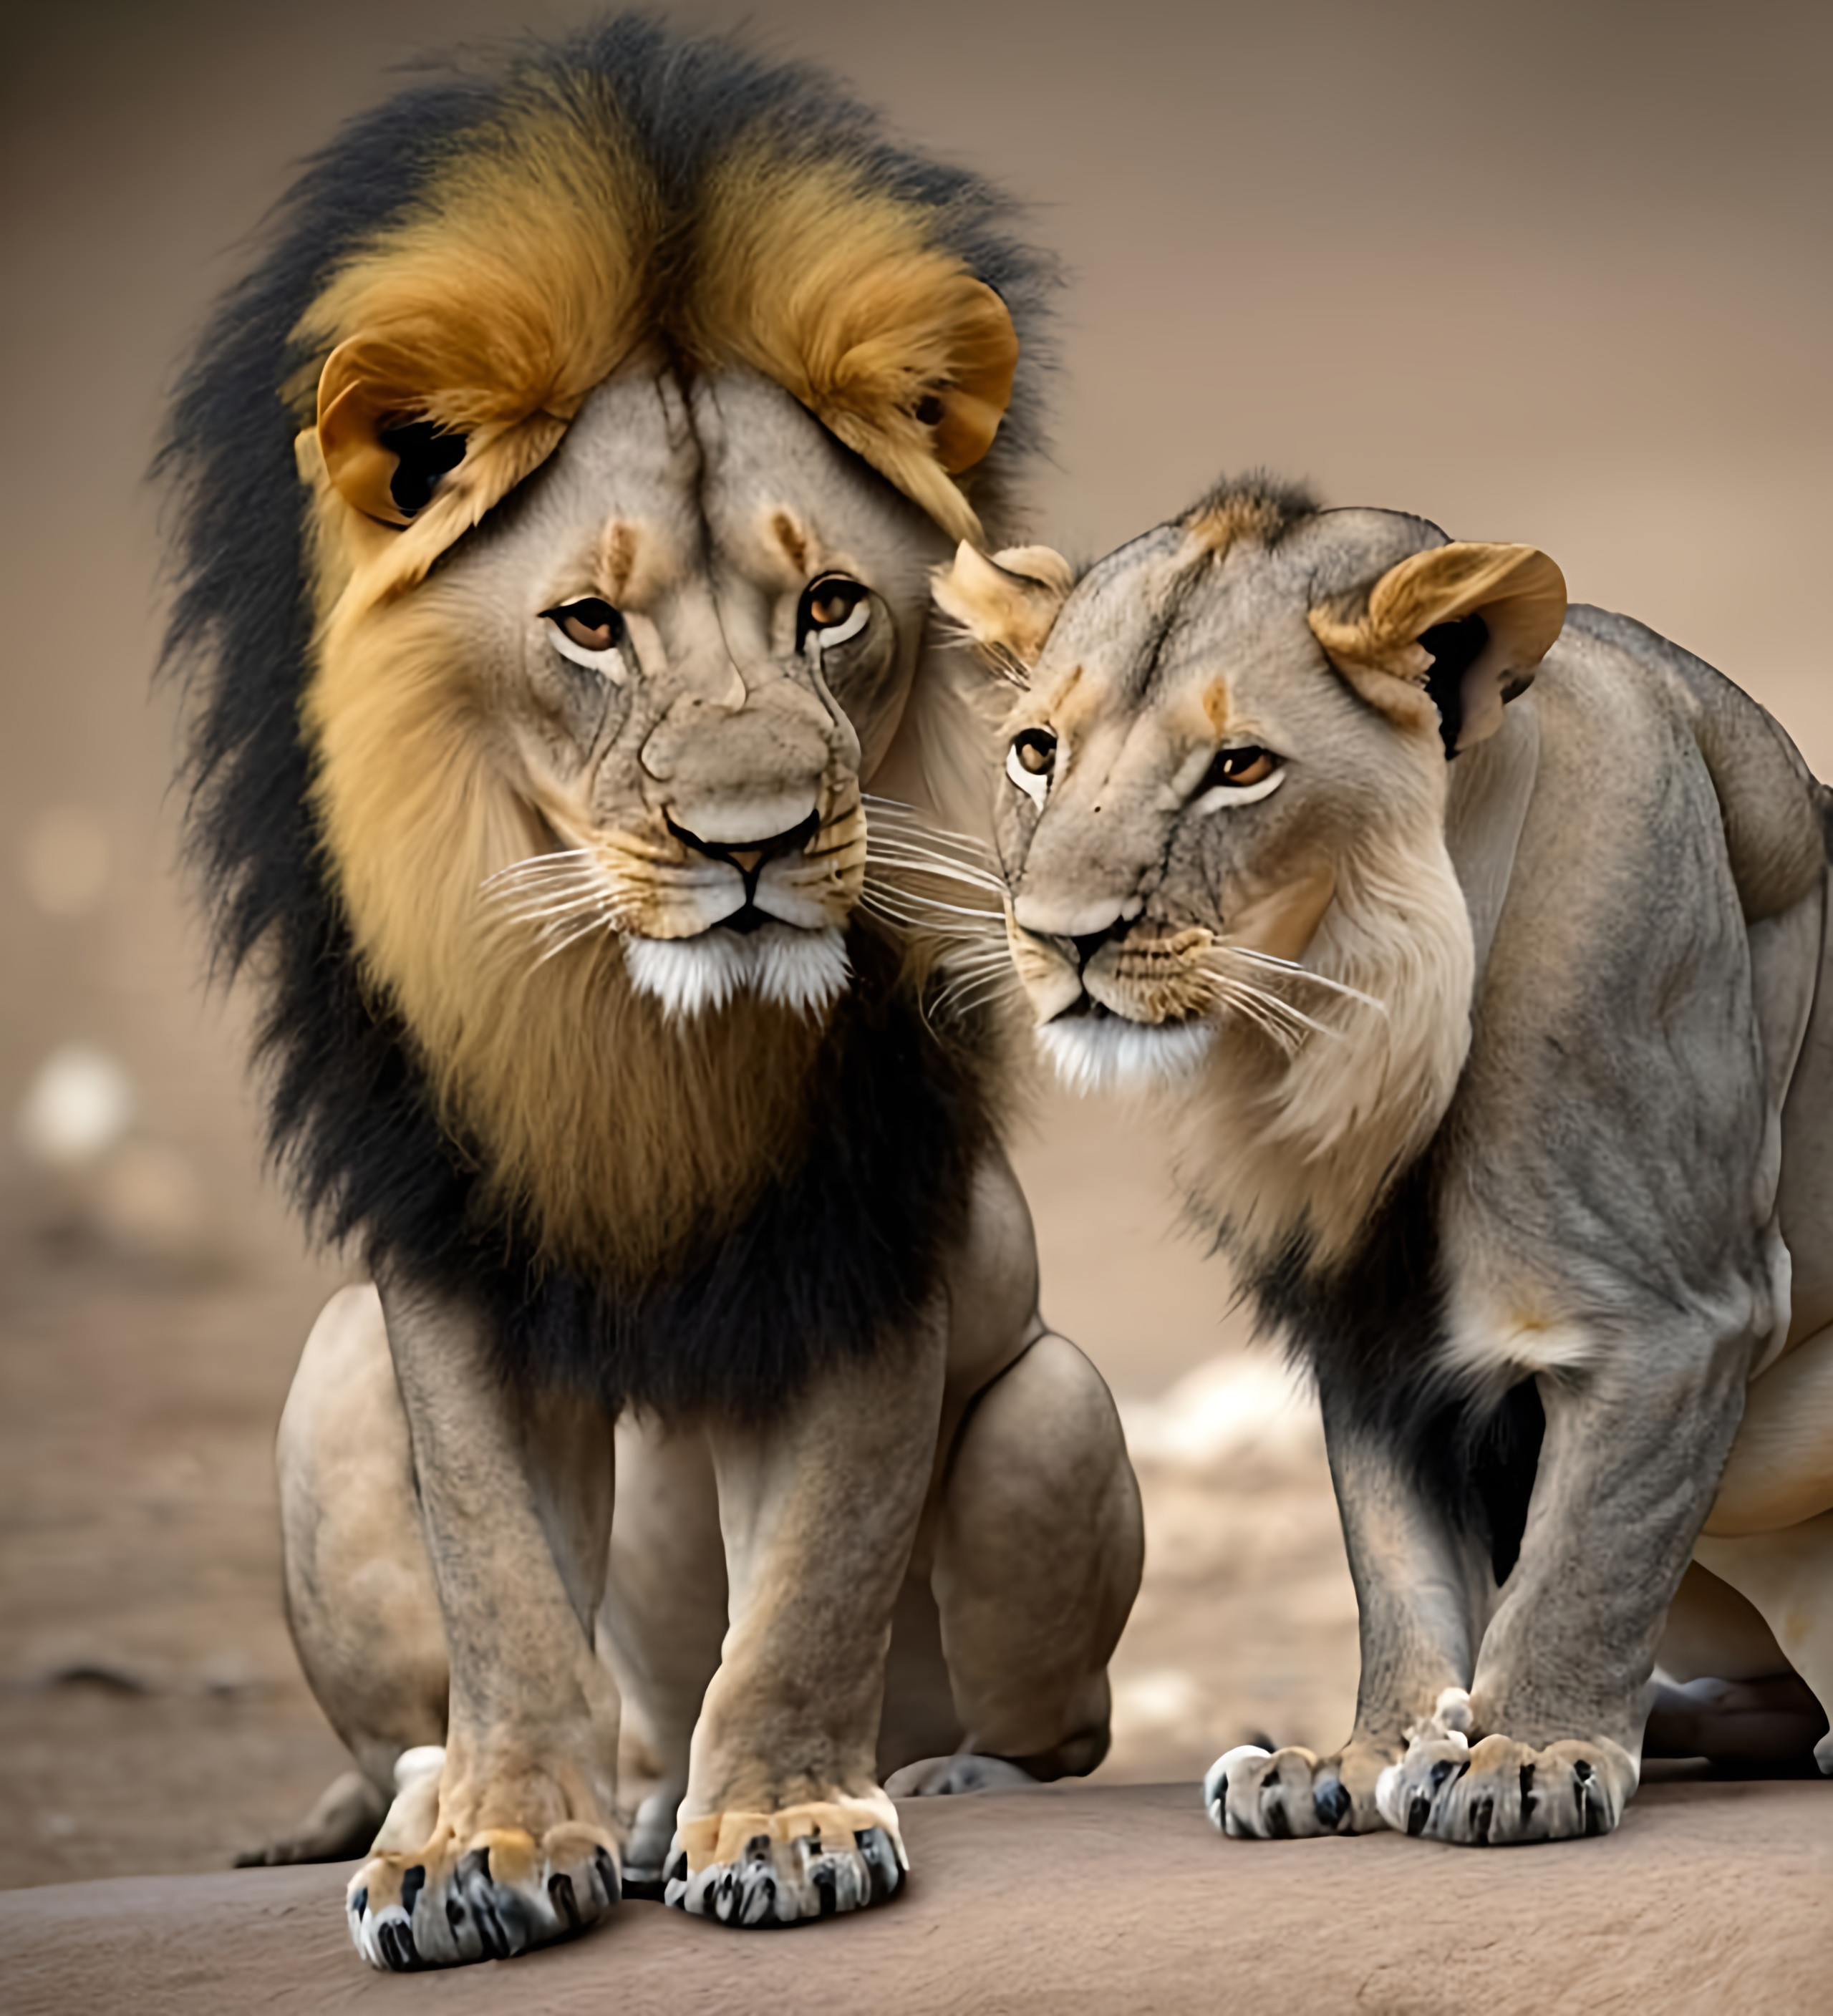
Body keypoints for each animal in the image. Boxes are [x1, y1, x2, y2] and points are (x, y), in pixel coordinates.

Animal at [160, 20, 1141, 1967]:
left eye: (829, 605)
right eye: (589, 628)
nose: (750, 842)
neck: (633, 1024)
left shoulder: (860, 1232)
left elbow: (811, 1583)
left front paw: (780, 1821)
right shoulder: (449, 1250)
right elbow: (500, 1576)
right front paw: (488, 1841)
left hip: (1054, 1414)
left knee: (1047, 1718)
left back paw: (928, 1773)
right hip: (330, 1372)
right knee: (462, 1708)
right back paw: (458, 1801)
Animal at [932, 476, 1833, 1846]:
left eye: (1240, 768)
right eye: (1038, 752)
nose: (1059, 939)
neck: (1342, 1031)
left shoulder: (1679, 1319)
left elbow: (1589, 1558)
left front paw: (1531, 1752)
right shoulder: (1368, 1337)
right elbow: (1397, 1565)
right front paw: (1361, 1761)